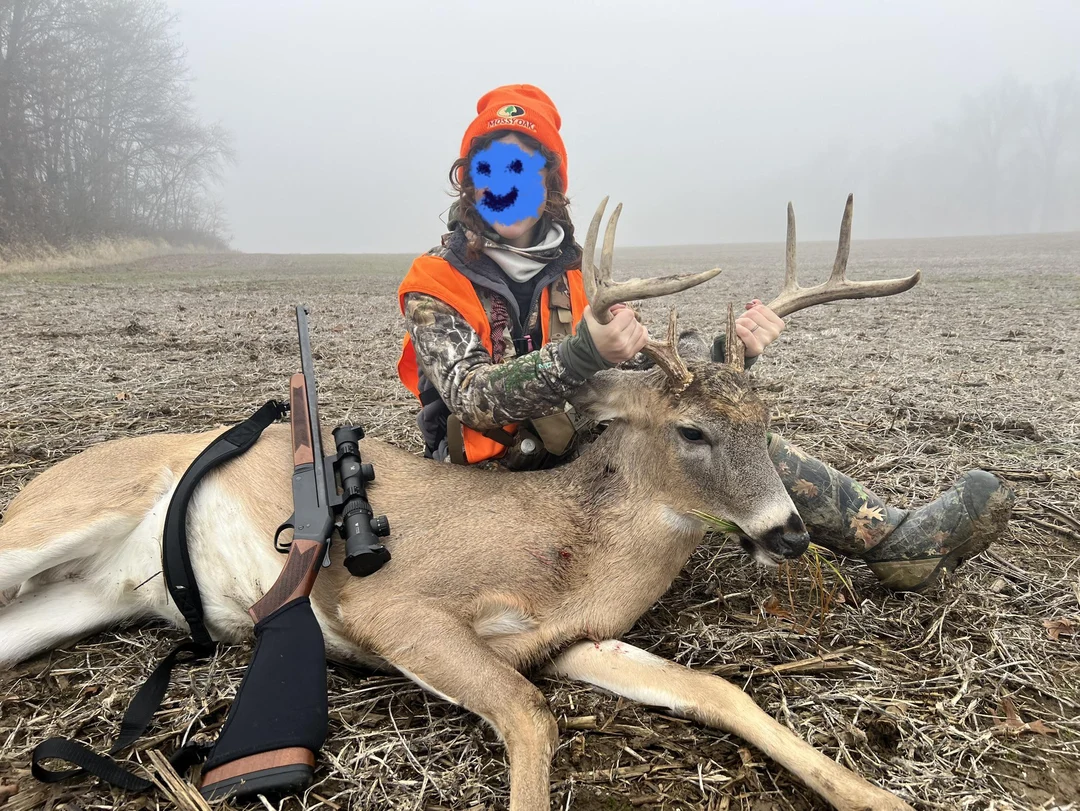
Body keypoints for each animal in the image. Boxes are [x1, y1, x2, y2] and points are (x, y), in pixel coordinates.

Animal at [0, 195, 920, 811]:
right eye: (692, 430)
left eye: (769, 423)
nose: (788, 532)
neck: (568, 552)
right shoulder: (397, 605)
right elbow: (531, 715)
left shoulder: (567, 638)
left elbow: (718, 690)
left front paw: (877, 796)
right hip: (57, 516)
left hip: (89, 595)